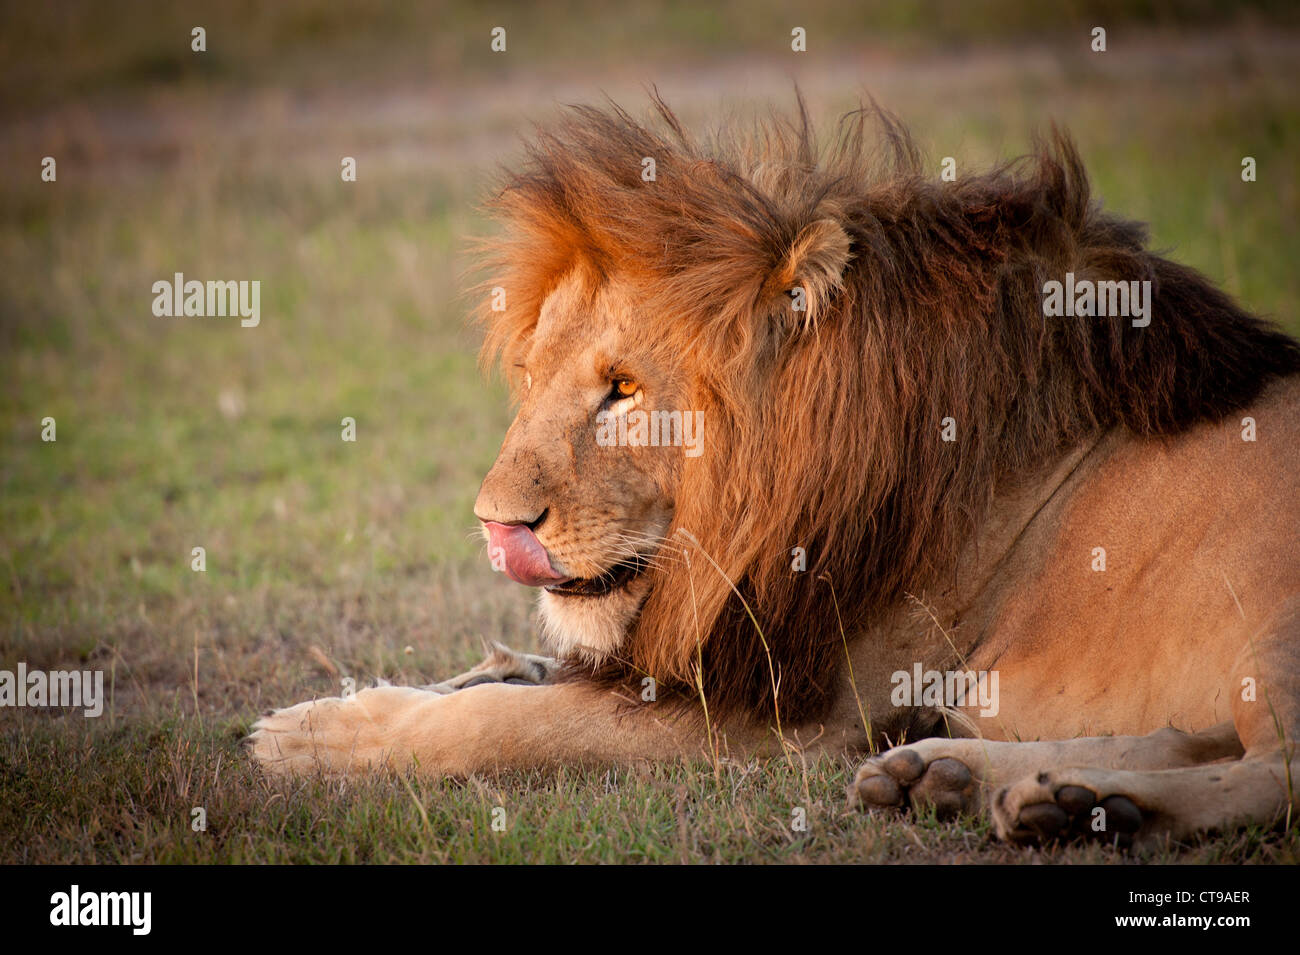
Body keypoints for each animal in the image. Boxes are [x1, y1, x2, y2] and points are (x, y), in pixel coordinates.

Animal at [249, 95, 1300, 851]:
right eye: (535, 373)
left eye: (623, 389)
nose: (494, 523)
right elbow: (504, 681)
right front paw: (349, 702)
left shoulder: (796, 715)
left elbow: (509, 725)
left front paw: (322, 740)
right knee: (1196, 734)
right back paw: (968, 779)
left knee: (1273, 769)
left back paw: (1090, 804)